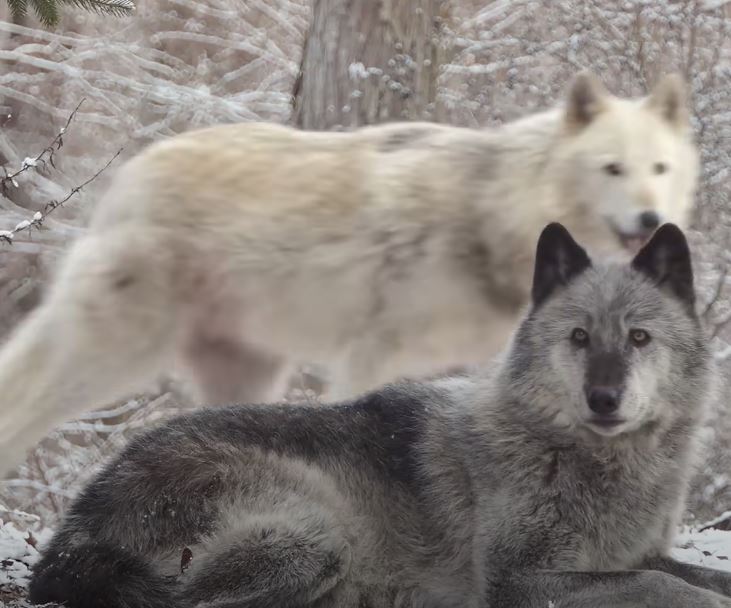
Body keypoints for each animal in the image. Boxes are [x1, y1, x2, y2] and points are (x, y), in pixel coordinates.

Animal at [0, 72, 697, 471]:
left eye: (660, 169)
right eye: (612, 168)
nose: (650, 218)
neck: (492, 213)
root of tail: (134, 169)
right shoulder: (374, 352)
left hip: (247, 371)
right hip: (117, 353)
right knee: (26, 393)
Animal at [29, 223, 730, 608]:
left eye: (639, 338)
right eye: (579, 337)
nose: (603, 399)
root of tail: (74, 532)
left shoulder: (640, 552)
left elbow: (687, 573)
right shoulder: (517, 582)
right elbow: (664, 587)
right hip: (313, 532)